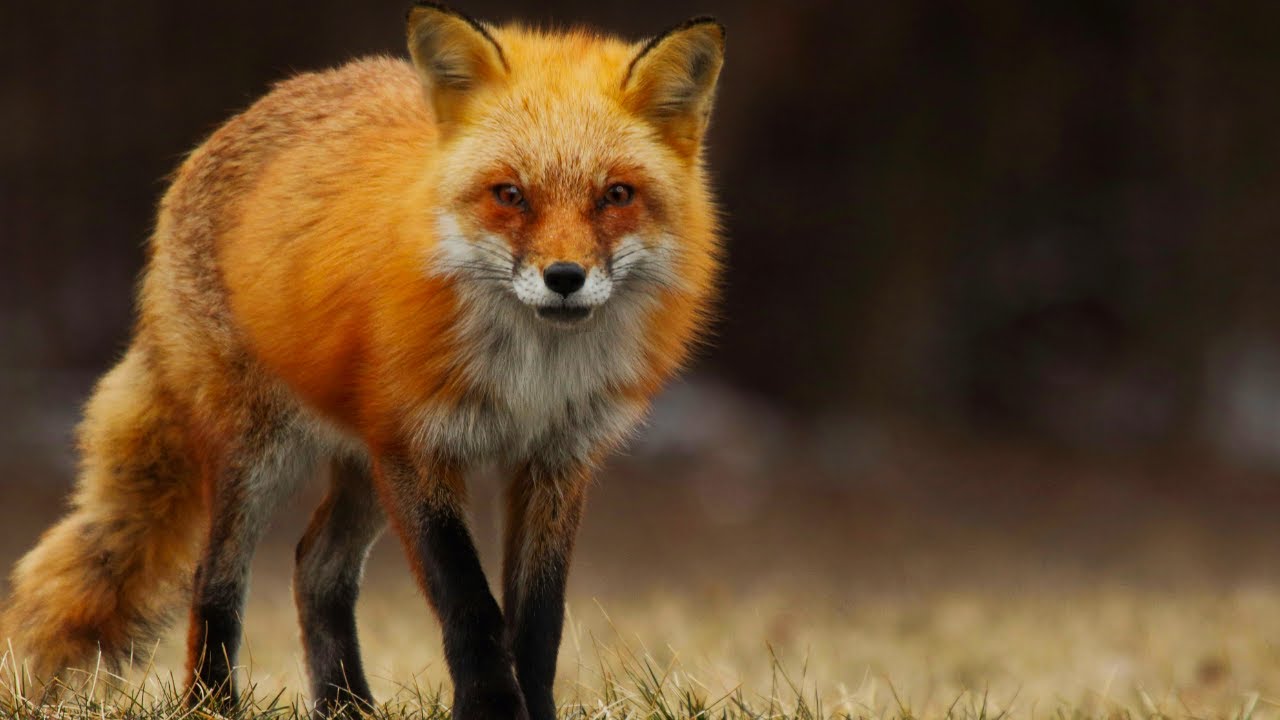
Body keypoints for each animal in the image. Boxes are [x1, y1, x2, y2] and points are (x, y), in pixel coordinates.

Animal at [0, 3, 724, 719]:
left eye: (617, 195)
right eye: (510, 194)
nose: (565, 278)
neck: (528, 377)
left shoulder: (556, 462)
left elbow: (538, 623)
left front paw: (533, 711)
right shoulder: (416, 447)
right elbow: (470, 607)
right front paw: (491, 709)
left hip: (363, 465)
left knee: (314, 568)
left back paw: (346, 706)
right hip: (262, 453)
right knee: (214, 579)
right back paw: (215, 703)